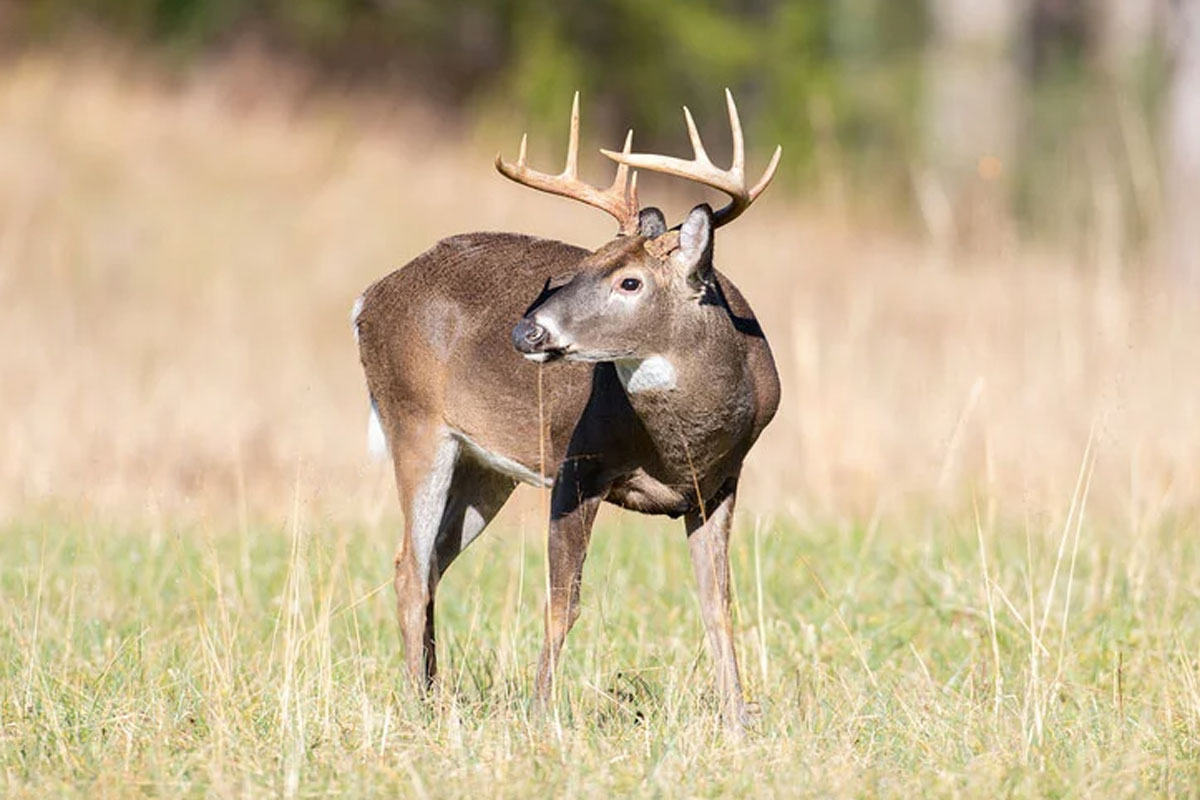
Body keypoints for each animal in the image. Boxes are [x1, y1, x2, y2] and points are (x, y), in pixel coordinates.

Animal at [353, 90, 781, 732]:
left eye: (629, 281)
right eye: (580, 268)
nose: (525, 330)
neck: (684, 437)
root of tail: (366, 300)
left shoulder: (721, 482)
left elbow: (717, 604)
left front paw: (737, 722)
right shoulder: (578, 464)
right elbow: (564, 601)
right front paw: (541, 714)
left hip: (486, 468)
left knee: (430, 568)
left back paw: (433, 693)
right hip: (415, 421)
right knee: (408, 566)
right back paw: (417, 707)